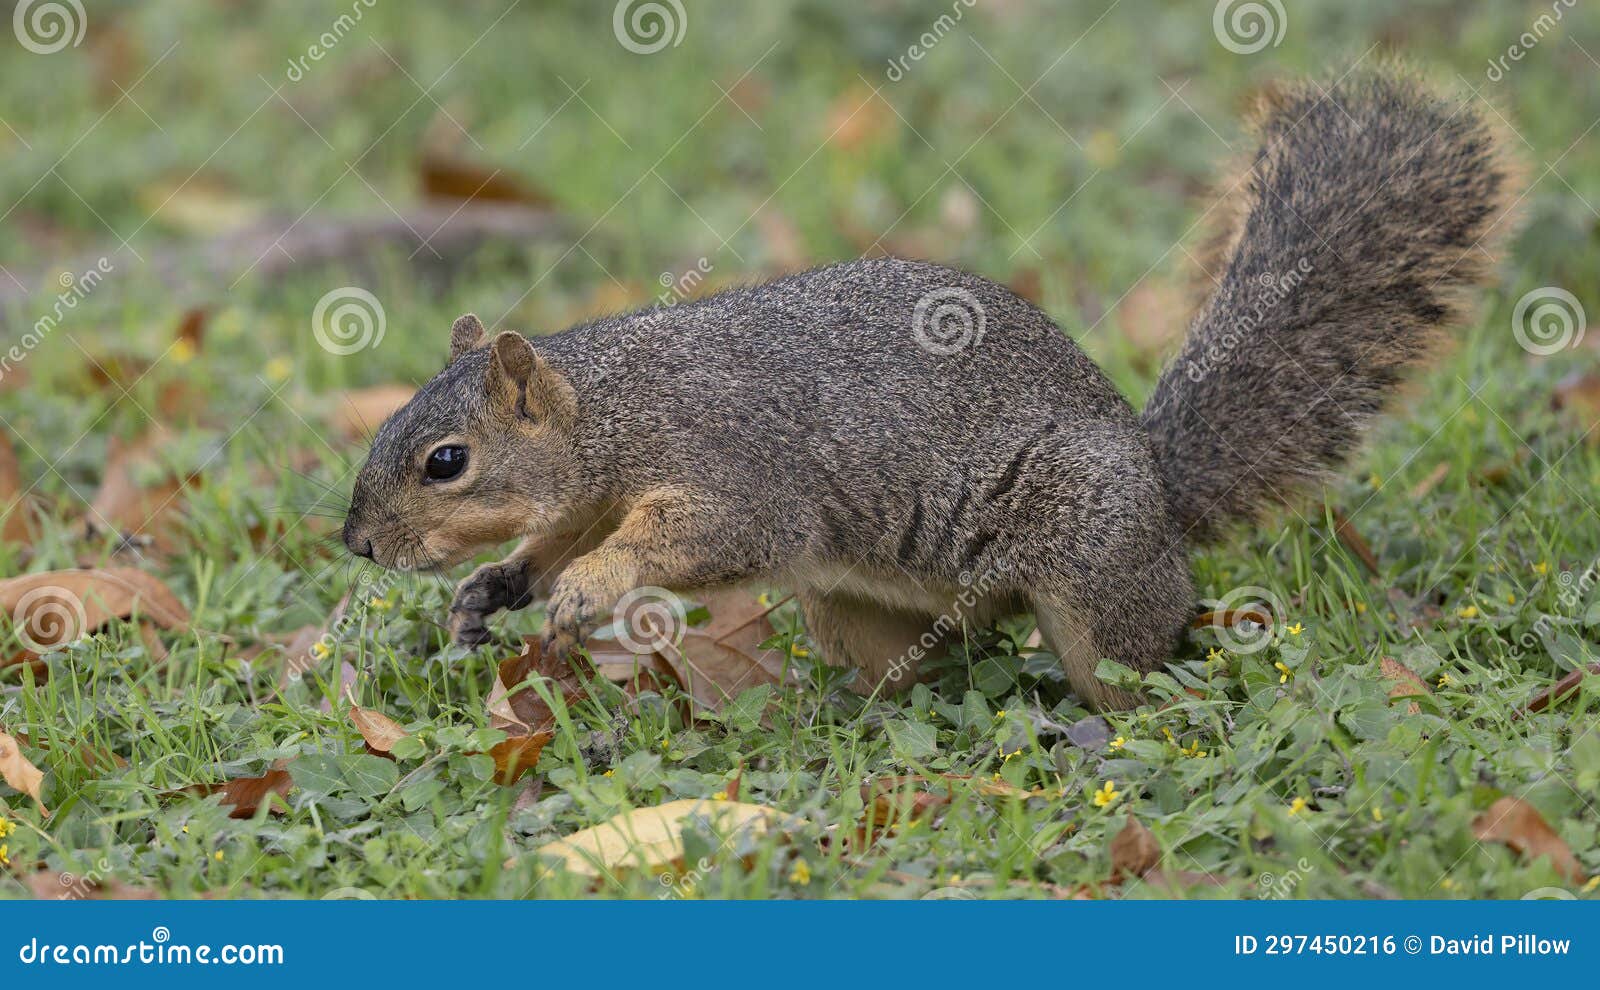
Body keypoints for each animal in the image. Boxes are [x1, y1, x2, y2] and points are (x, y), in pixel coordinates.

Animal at [342, 68, 1514, 710]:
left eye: (446, 462)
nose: (357, 544)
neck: (613, 409)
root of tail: (1159, 494)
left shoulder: (731, 468)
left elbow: (709, 532)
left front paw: (593, 586)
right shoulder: (590, 495)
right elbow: (550, 542)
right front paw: (493, 589)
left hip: (1088, 558)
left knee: (1133, 660)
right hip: (853, 603)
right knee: (924, 662)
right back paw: (849, 716)